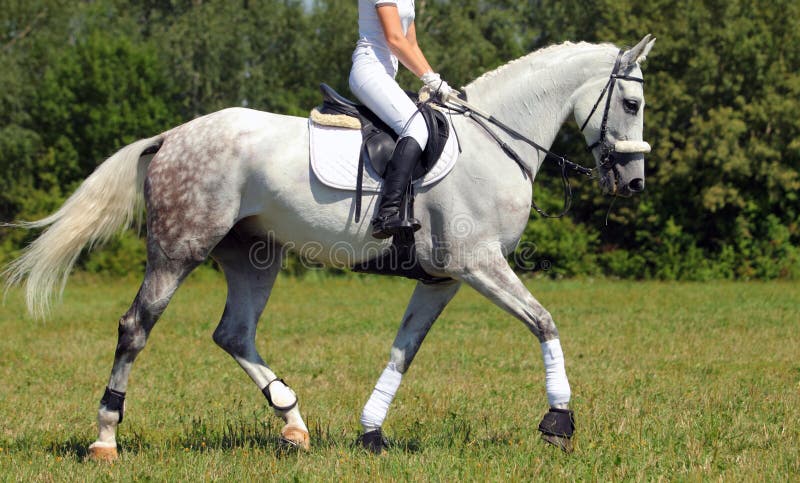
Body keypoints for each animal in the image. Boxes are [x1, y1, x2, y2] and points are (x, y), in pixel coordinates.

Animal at [3, 35, 655, 459]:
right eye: (631, 103)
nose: (633, 184)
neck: (493, 142)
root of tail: (171, 137)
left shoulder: (441, 278)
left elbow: (403, 352)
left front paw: (371, 433)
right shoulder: (477, 265)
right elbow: (544, 322)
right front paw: (559, 421)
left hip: (253, 255)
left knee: (233, 333)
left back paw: (292, 422)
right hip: (180, 248)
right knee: (136, 326)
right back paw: (106, 438)